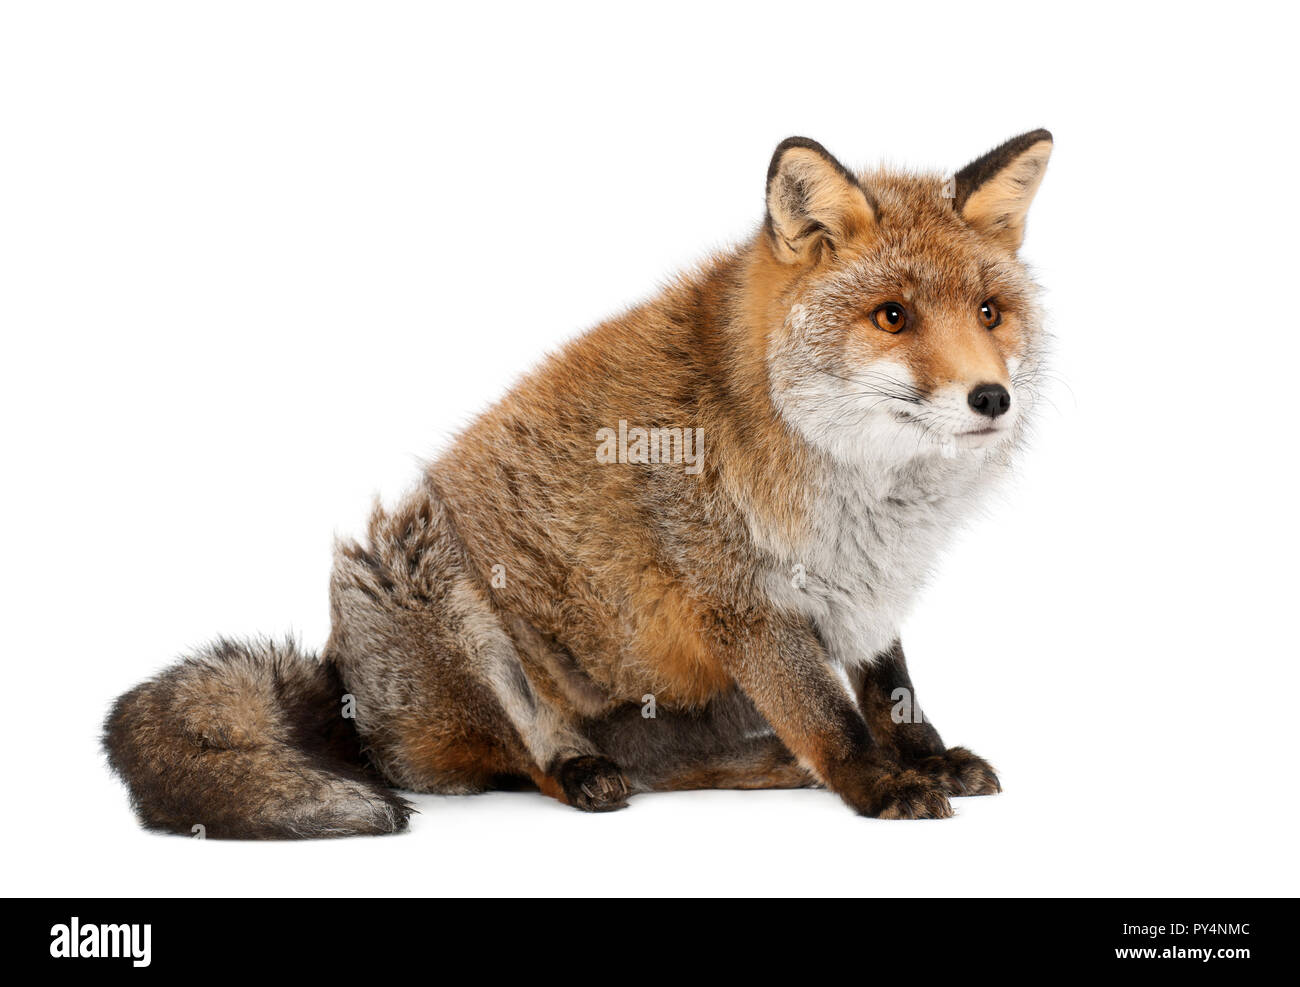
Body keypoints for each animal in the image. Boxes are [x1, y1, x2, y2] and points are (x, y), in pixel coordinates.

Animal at [104, 130, 1053, 838]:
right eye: (892, 316)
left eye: (989, 313)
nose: (992, 397)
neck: (865, 492)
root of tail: (349, 689)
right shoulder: (744, 601)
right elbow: (833, 717)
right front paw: (880, 784)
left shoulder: (862, 594)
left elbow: (893, 698)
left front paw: (923, 758)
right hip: (423, 577)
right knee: (527, 761)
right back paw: (580, 769)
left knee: (666, 765)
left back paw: (763, 765)